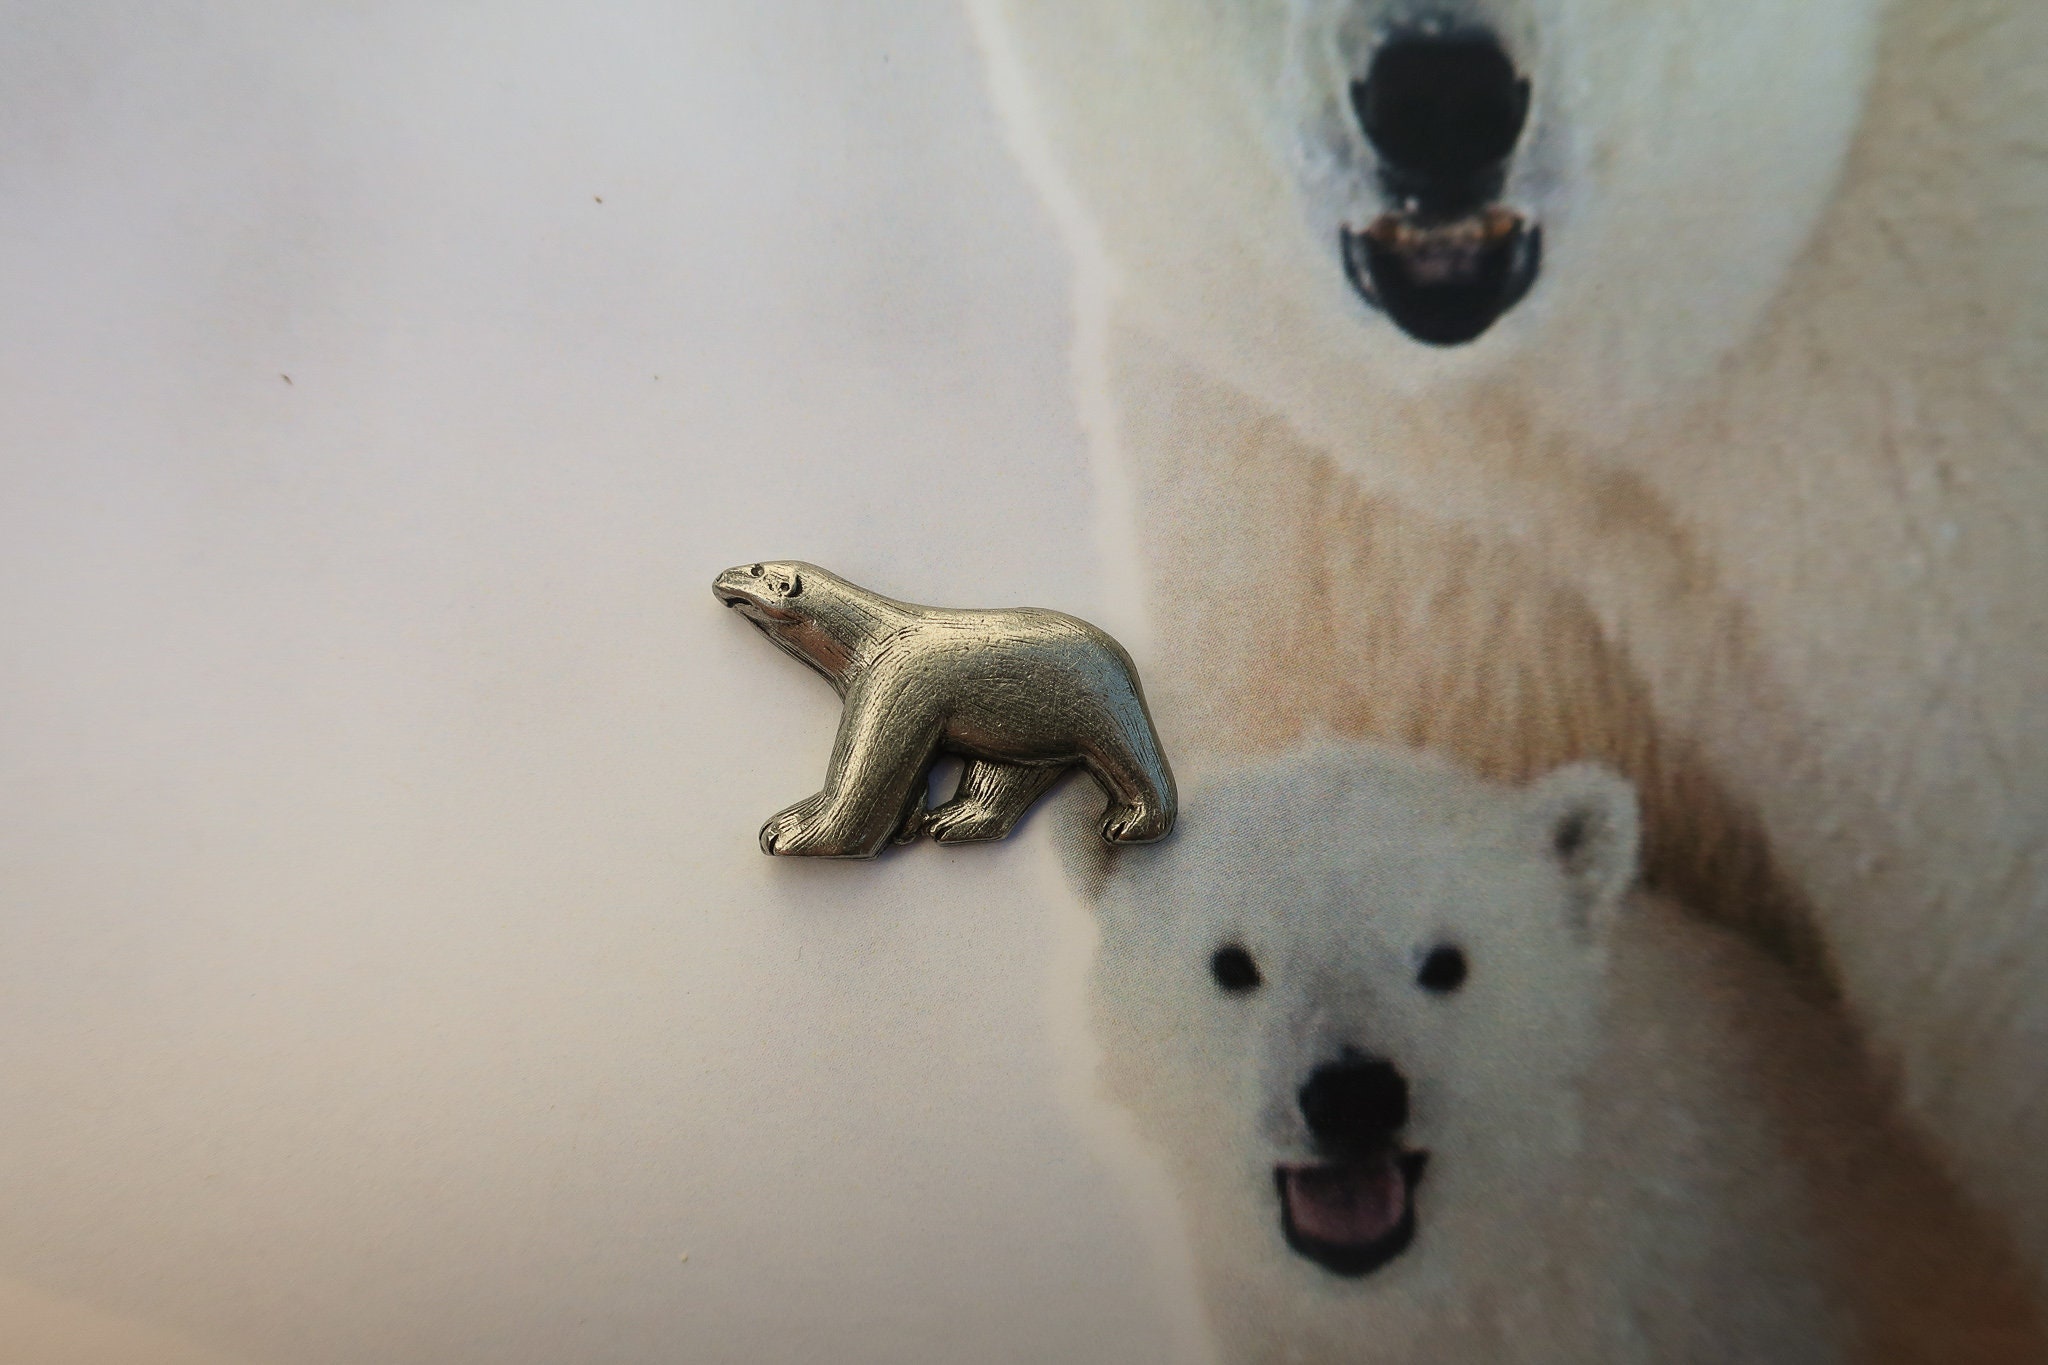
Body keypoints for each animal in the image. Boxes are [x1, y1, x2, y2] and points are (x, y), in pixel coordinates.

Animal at [713, 560, 1175, 856]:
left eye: (756, 570)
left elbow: (869, 767)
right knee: (1004, 773)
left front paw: (790, 832)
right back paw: (955, 819)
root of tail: (1123, 661)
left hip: (1098, 701)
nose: (720, 576)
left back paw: (1131, 823)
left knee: (1130, 756)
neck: (871, 634)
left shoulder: (900, 681)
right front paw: (911, 822)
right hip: (1024, 721)